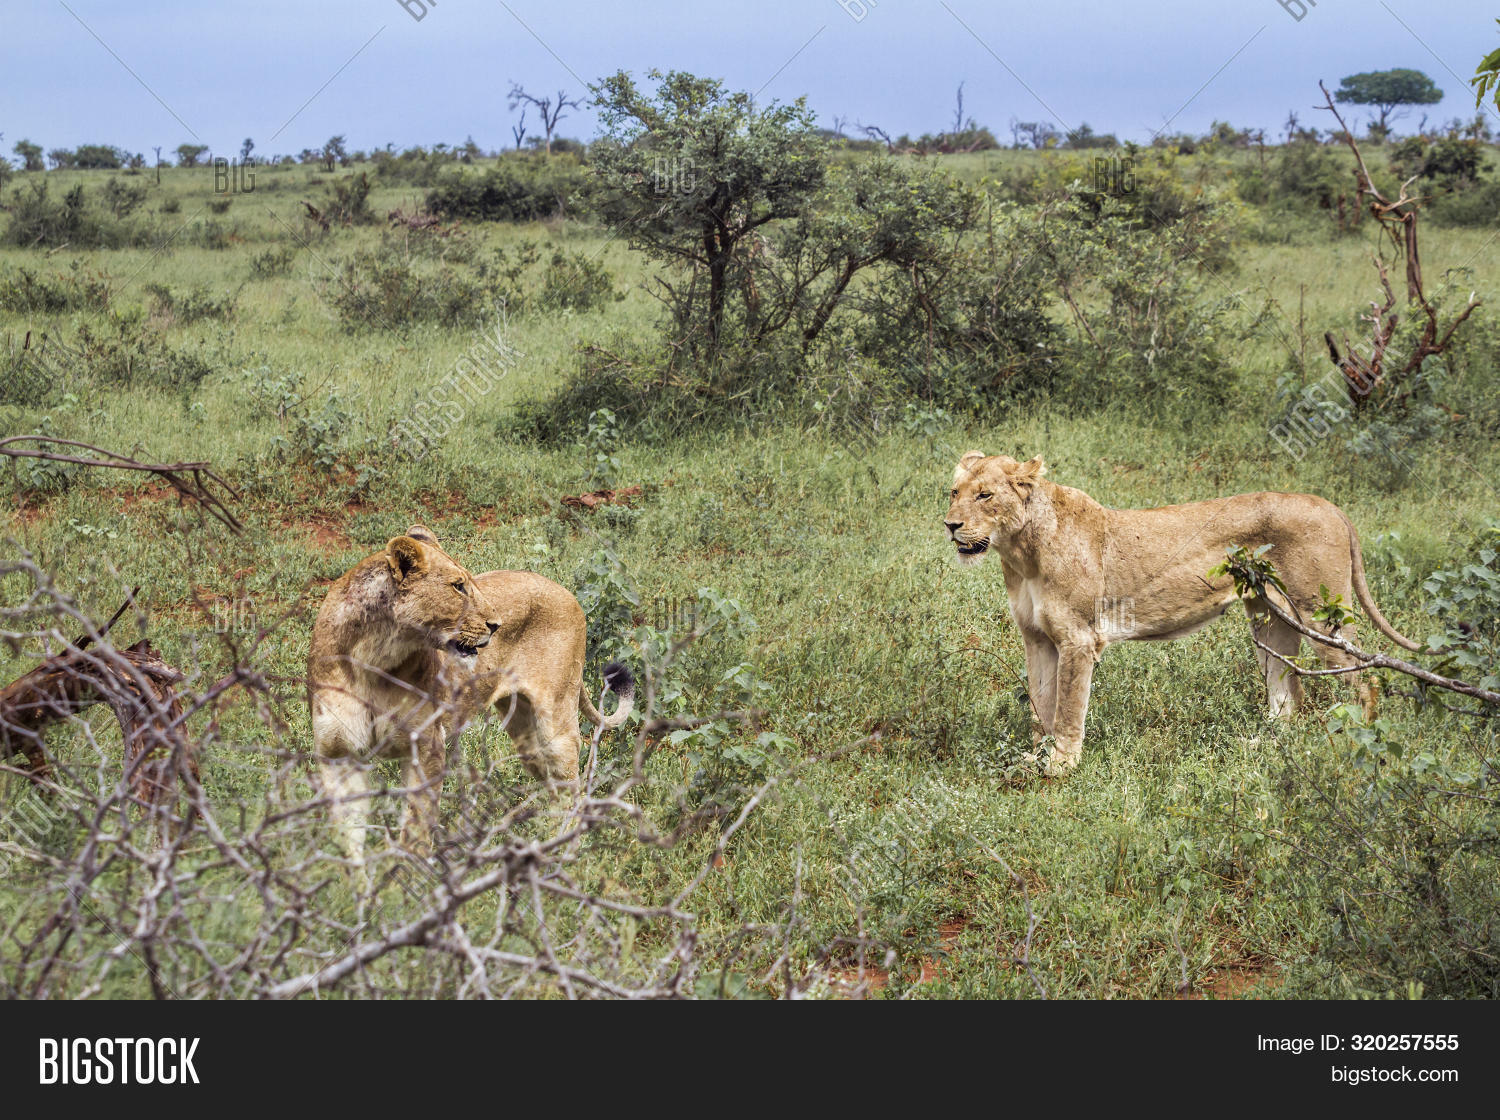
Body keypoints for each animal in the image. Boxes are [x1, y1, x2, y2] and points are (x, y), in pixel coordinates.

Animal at [307, 525, 633, 871]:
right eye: (458, 586)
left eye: (469, 582)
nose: (496, 625)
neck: (371, 658)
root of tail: (566, 591)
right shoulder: (337, 755)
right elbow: (349, 840)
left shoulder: (427, 745)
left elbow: (416, 826)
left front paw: (412, 875)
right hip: (525, 734)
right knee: (552, 788)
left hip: (556, 725)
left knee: (573, 789)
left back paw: (561, 854)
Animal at [944, 452, 1419, 777]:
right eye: (954, 493)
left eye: (985, 495)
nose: (950, 525)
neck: (1020, 553)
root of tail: (1330, 505)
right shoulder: (1038, 637)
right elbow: (1040, 704)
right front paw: (1034, 757)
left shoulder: (1078, 639)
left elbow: (1066, 707)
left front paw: (1061, 766)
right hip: (1271, 620)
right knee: (1288, 695)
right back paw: (1260, 744)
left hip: (1319, 616)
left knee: (1368, 678)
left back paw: (1360, 745)